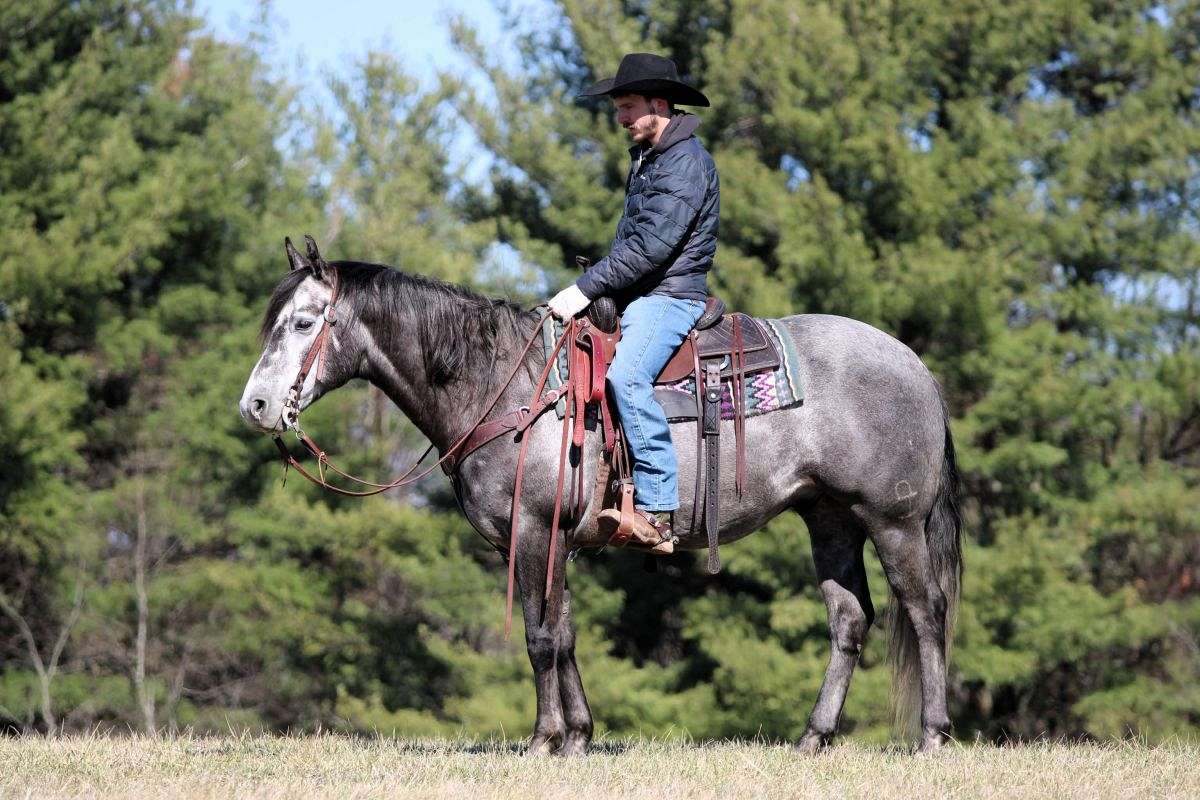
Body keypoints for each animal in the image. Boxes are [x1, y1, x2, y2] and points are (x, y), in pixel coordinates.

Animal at [238, 237, 963, 754]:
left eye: (303, 323)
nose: (257, 405)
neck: (504, 385)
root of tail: (915, 365)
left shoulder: (532, 530)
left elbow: (538, 636)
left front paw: (543, 739)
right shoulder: (557, 539)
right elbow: (564, 632)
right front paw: (579, 736)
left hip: (893, 522)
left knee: (926, 611)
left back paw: (931, 734)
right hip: (830, 518)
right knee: (850, 619)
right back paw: (814, 736)